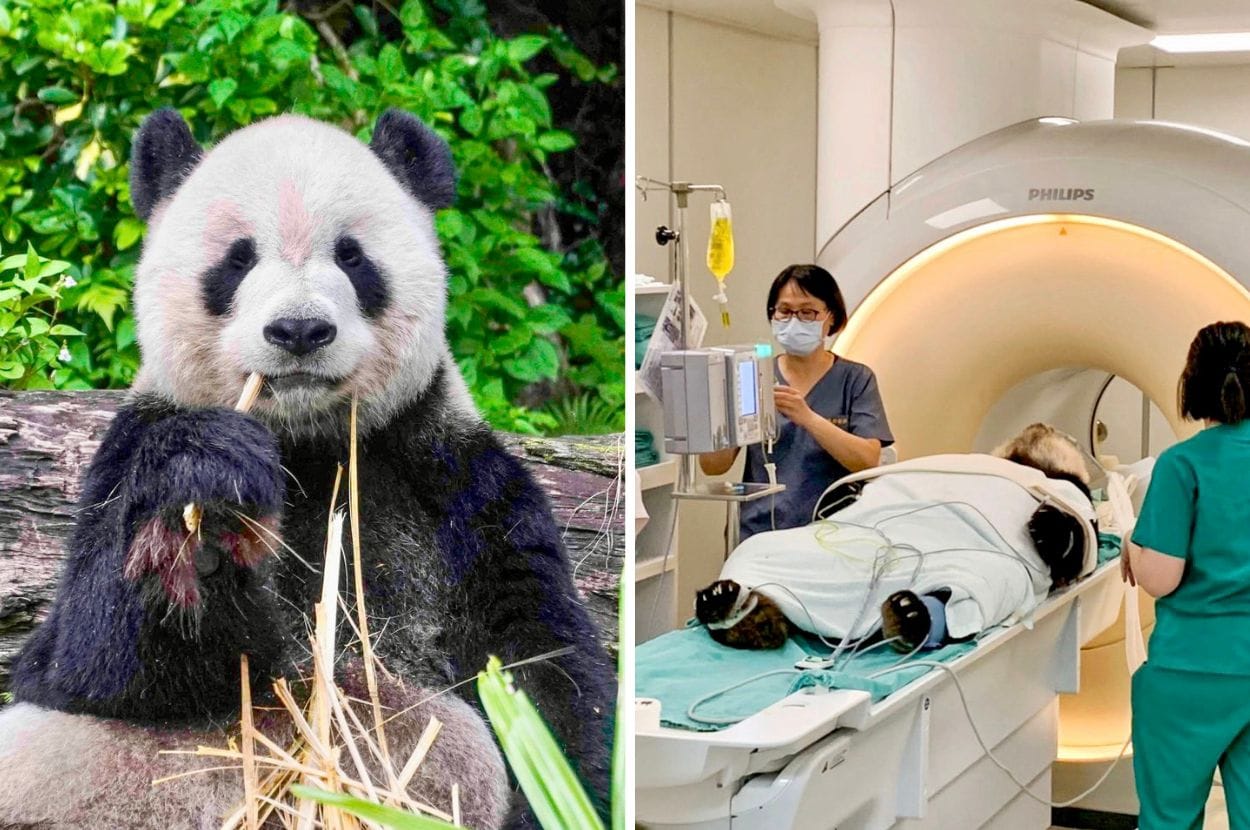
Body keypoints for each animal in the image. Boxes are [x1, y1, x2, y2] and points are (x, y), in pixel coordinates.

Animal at [0, 109, 614, 829]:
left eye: (352, 256)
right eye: (238, 260)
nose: (298, 330)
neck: (307, 442)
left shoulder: (454, 478)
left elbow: (540, 662)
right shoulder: (131, 447)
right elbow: (81, 663)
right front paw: (204, 505)